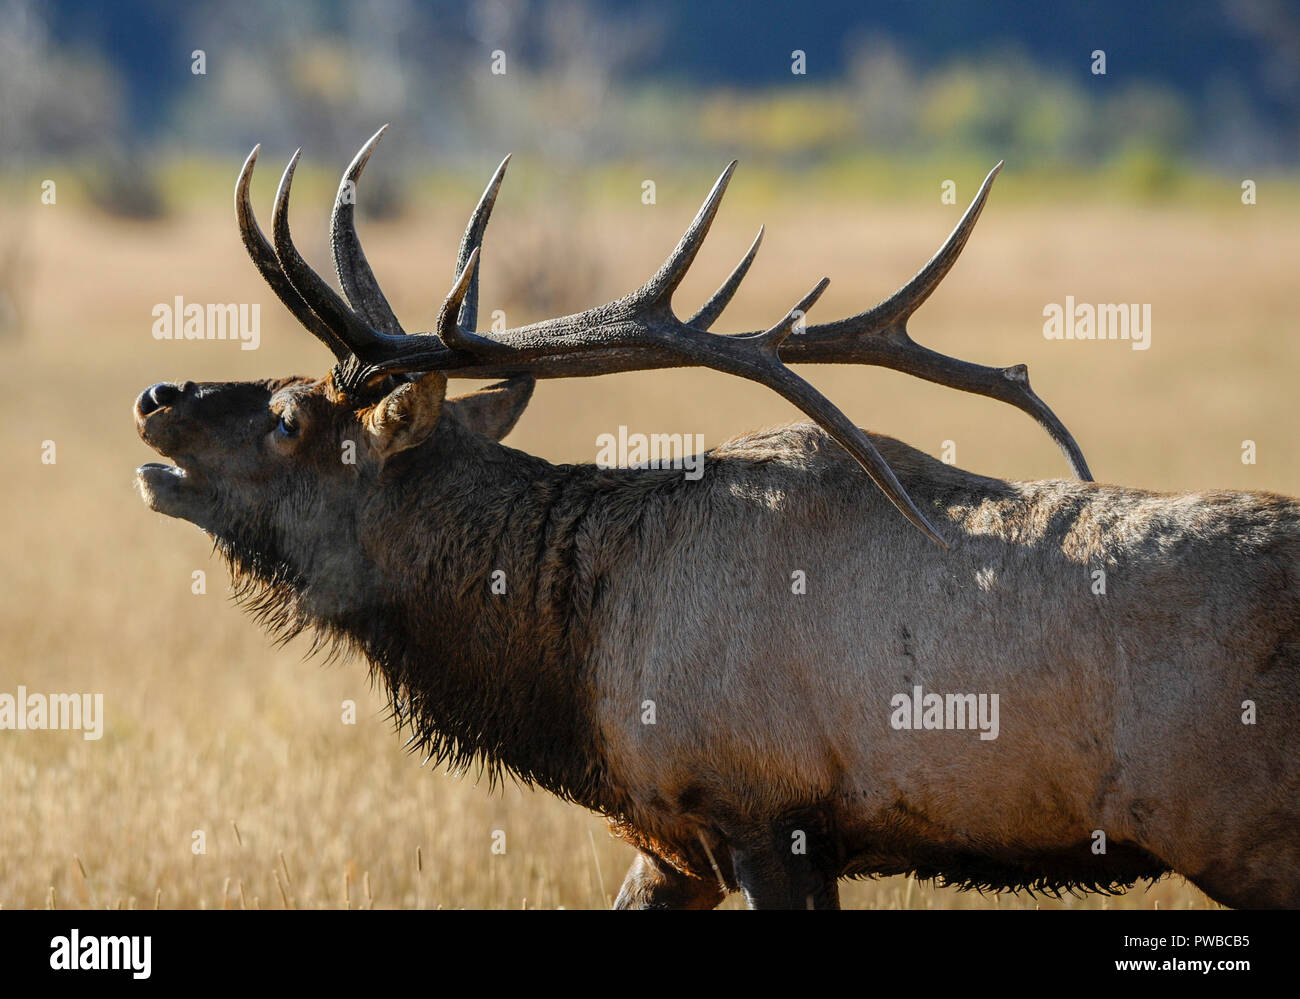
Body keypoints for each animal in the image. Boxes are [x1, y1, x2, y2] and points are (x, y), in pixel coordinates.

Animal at [134, 127, 1300, 910]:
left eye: (290, 418)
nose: (157, 397)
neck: (571, 654)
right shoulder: (667, 842)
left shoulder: (768, 814)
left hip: (1247, 834)